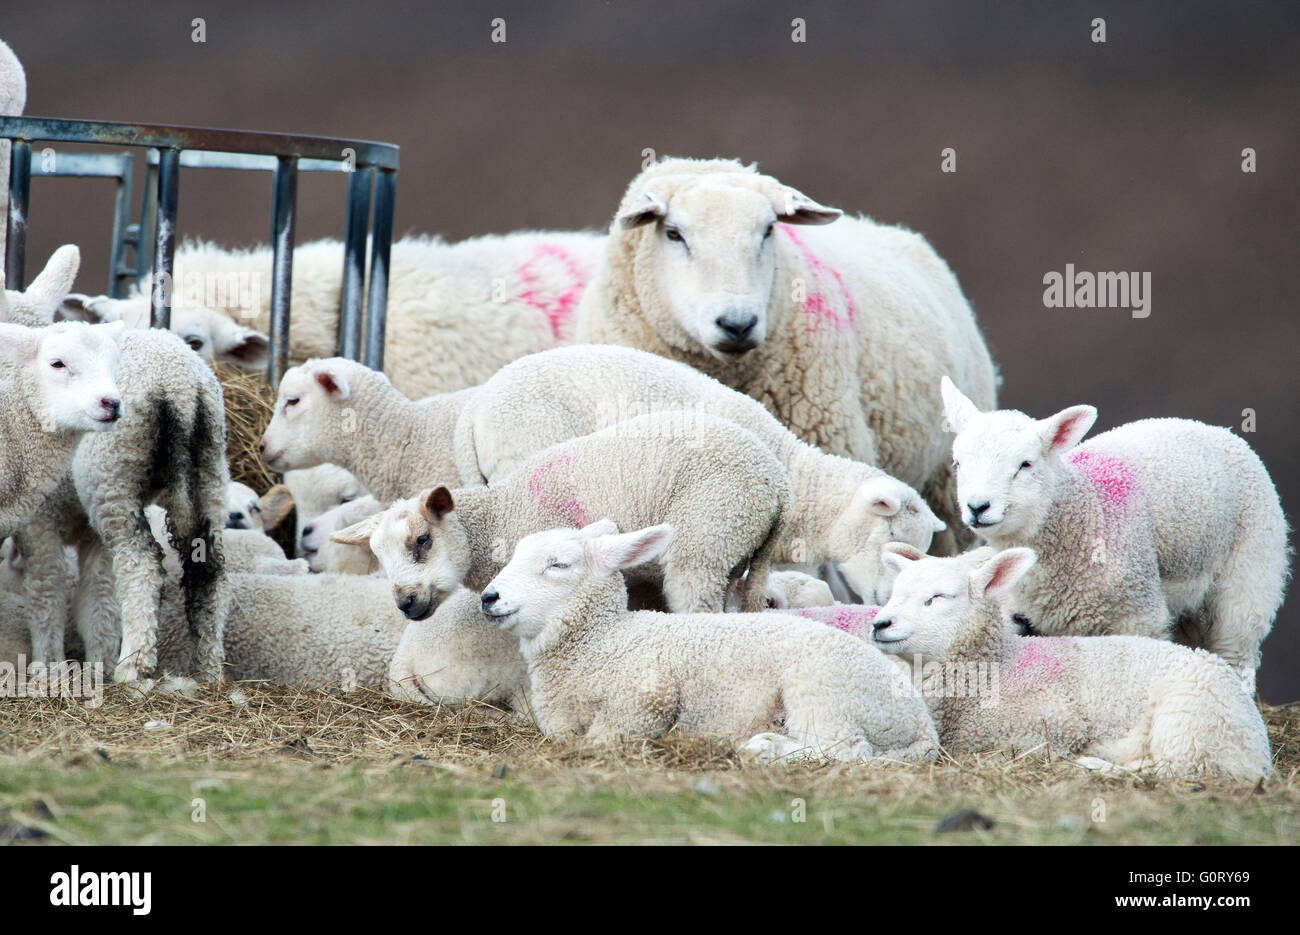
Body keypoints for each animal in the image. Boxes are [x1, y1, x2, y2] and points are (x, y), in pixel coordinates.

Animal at [334, 411, 793, 618]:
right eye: (378, 556)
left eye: (423, 540)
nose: (406, 603)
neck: (501, 515)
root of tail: (777, 486)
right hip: (735, 550)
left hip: (707, 537)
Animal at [480, 520, 938, 763]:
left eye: (559, 565)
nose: (489, 597)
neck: (601, 640)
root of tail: (921, 721)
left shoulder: (644, 701)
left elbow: (604, 738)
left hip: (822, 690)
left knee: (846, 751)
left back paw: (764, 746)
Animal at [869, 544, 1272, 781]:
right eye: (894, 593)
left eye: (937, 597)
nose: (879, 624)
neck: (997, 667)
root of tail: (1259, 753)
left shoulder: (1053, 725)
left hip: (1190, 722)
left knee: (1178, 770)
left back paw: (1097, 764)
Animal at [940, 377, 1290, 694]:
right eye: (958, 464)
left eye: (1025, 464)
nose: (977, 507)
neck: (1083, 510)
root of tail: (1219, 430)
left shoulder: (1138, 615)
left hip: (1251, 571)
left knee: (1237, 647)